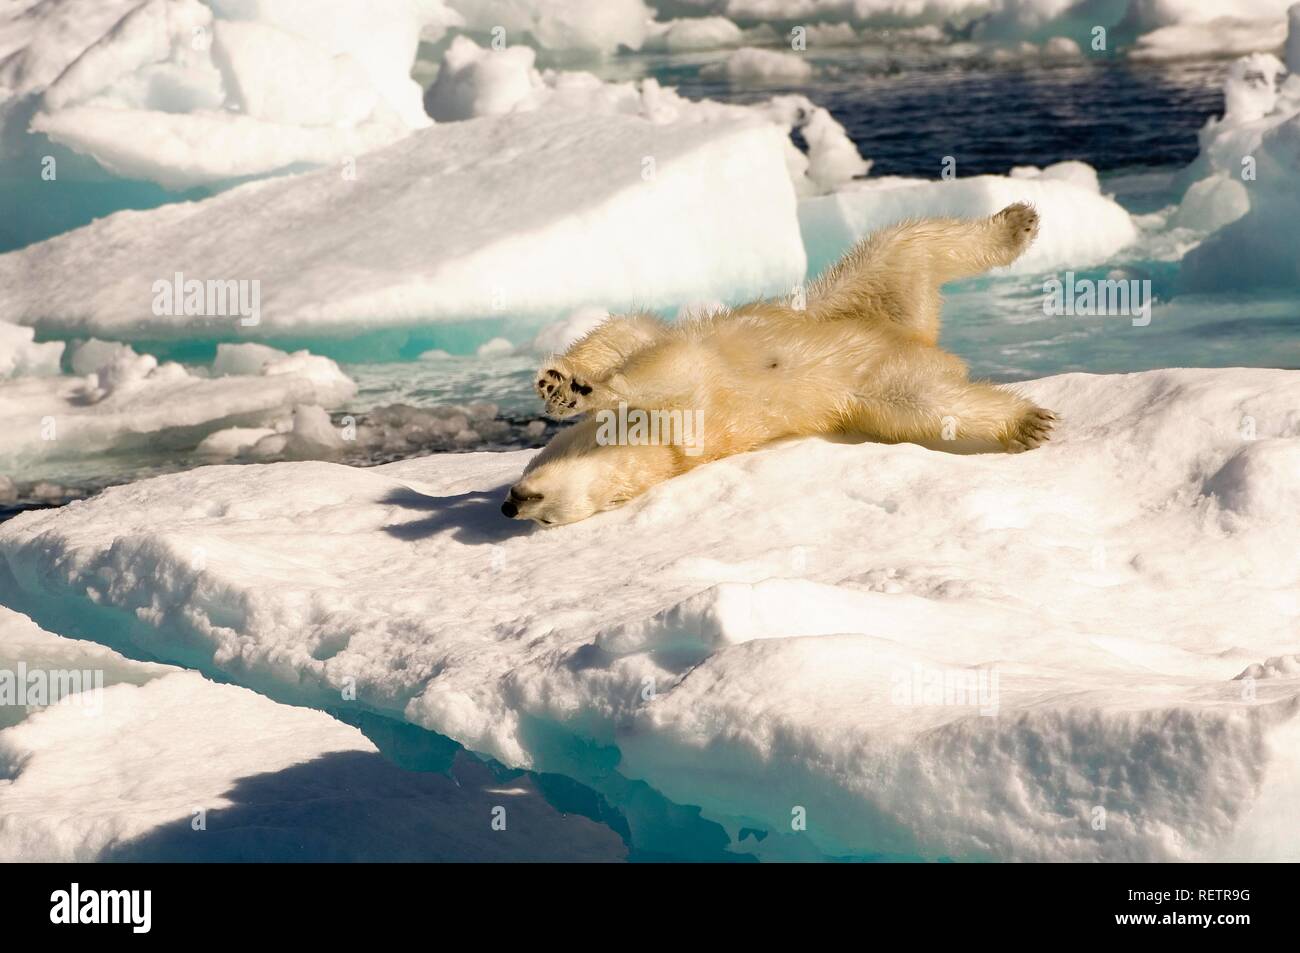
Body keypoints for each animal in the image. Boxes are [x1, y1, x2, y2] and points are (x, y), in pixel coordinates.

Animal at [501, 203, 1055, 526]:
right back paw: (1026, 422)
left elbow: (648, 345)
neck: (658, 447)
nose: (509, 504)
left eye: (540, 507)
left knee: (904, 243)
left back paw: (1018, 221)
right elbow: (650, 347)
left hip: (845, 304)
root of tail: (922, 342)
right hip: (873, 380)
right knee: (930, 402)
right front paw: (571, 384)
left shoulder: (690, 406)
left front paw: (568, 386)